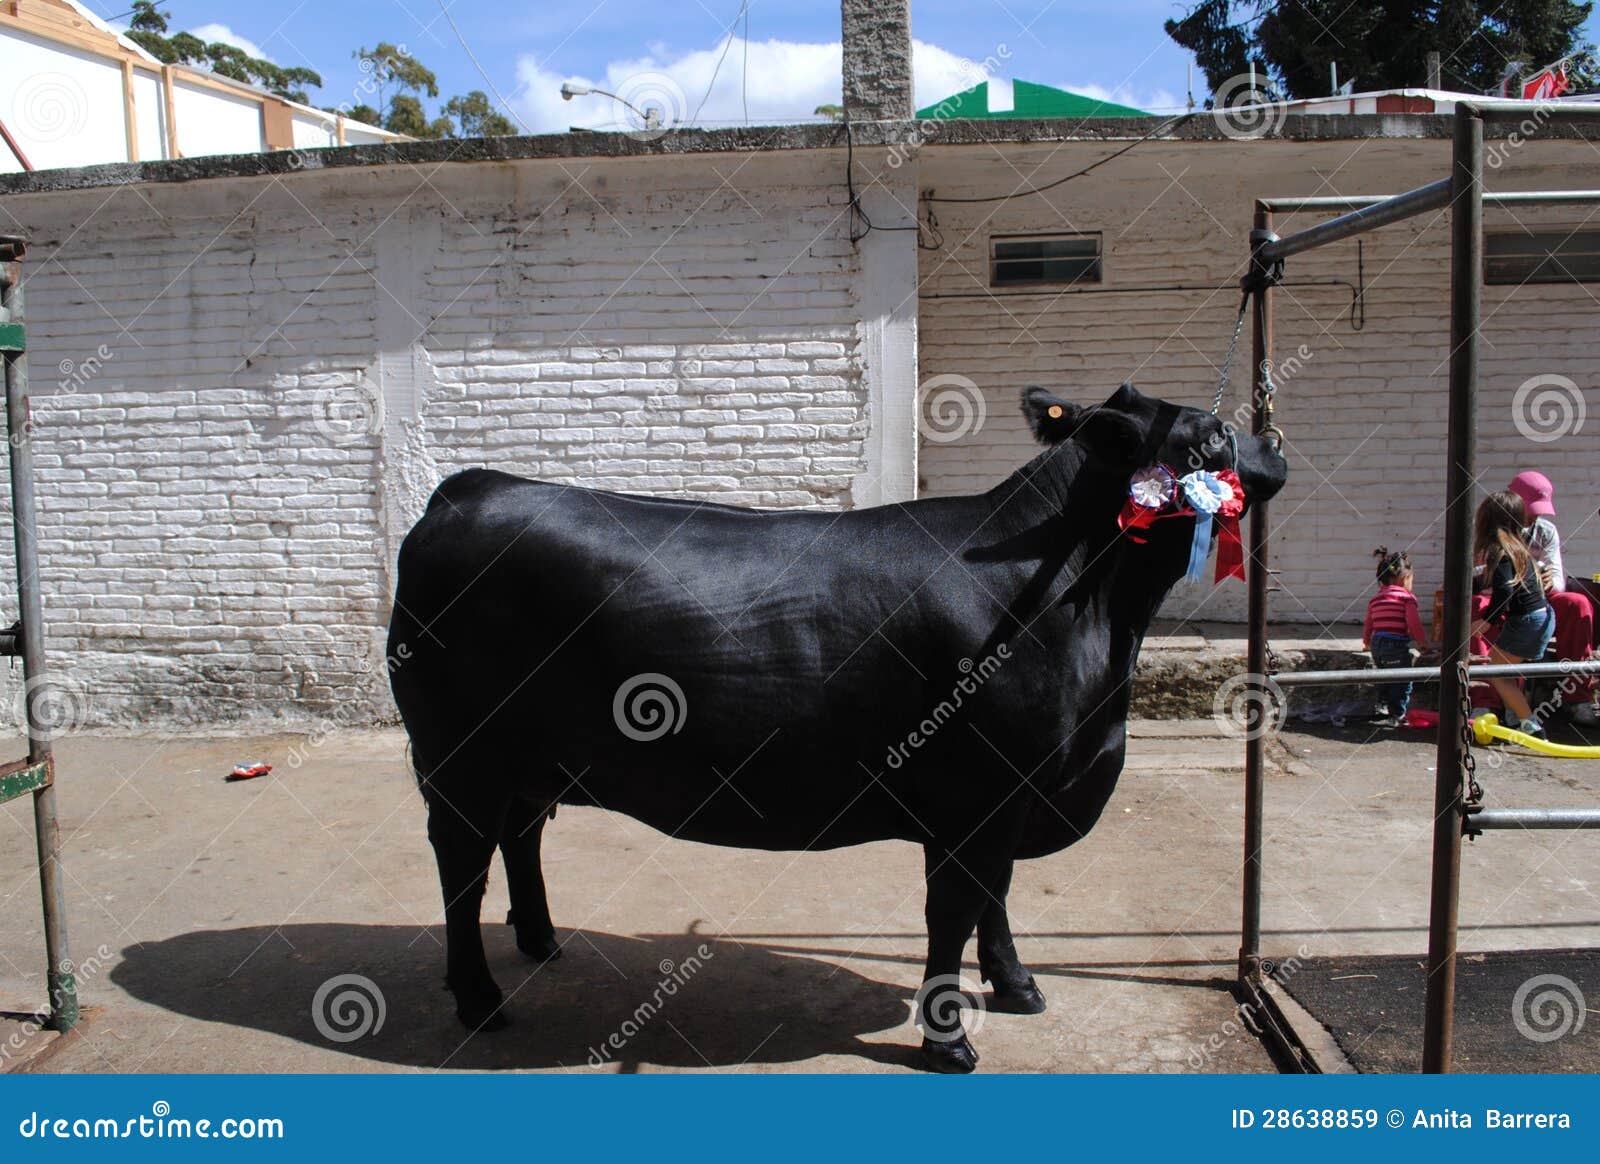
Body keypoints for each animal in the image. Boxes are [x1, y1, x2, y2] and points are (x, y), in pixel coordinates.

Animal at [387, 382, 1287, 1072]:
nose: (1273, 445)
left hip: (530, 759)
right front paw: (949, 1041)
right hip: (457, 754)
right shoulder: (978, 794)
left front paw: (1018, 986)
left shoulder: (1012, 795)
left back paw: (540, 940)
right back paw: (479, 999)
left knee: (521, 836)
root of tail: (476, 487)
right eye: (1212, 435)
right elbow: (954, 913)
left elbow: (993, 899)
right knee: (462, 865)